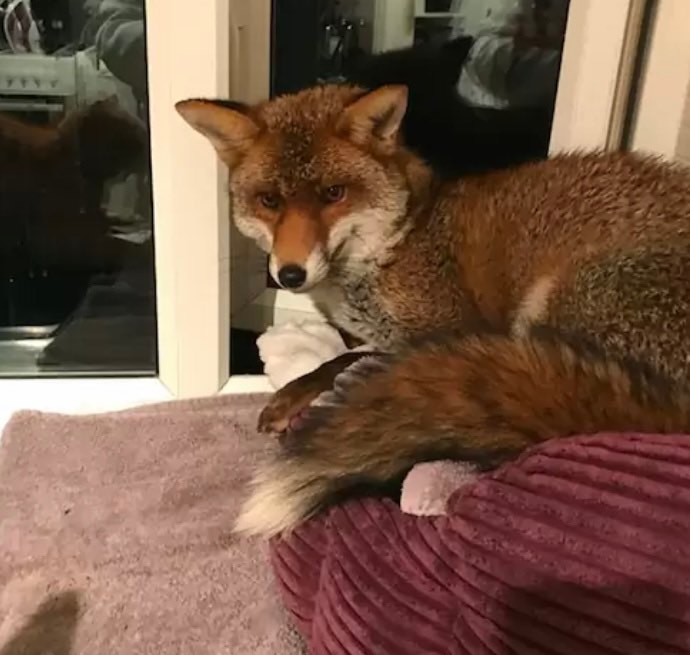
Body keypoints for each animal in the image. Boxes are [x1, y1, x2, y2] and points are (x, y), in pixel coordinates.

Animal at [176, 83, 690, 538]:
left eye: (334, 193)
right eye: (269, 201)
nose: (290, 275)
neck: (400, 241)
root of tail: (670, 412)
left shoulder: (450, 325)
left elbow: (344, 360)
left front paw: (292, 395)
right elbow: (343, 347)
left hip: (550, 307)